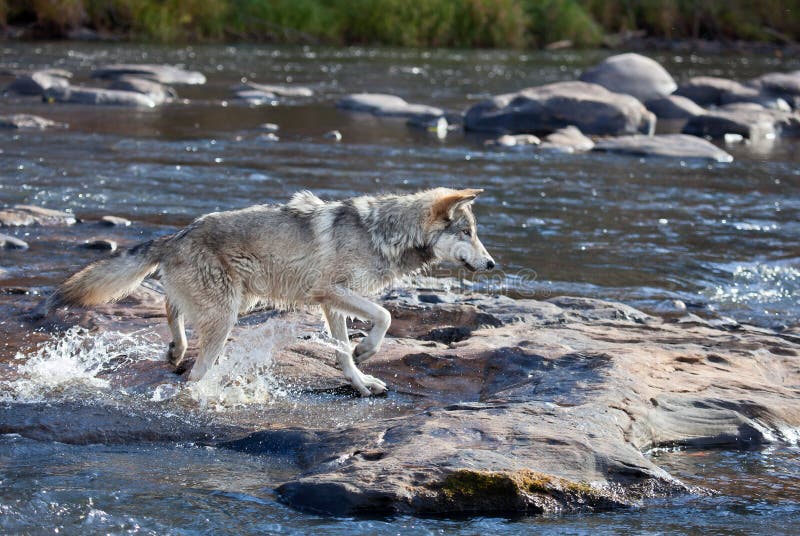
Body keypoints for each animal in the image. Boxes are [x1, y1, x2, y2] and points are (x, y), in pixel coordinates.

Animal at [50, 188, 495, 396]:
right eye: (467, 233)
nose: (492, 264)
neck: (383, 234)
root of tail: (176, 235)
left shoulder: (331, 305)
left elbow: (344, 352)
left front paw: (361, 379)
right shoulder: (330, 291)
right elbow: (384, 317)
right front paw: (368, 352)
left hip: (236, 302)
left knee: (171, 308)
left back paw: (175, 351)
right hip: (227, 315)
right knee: (196, 370)